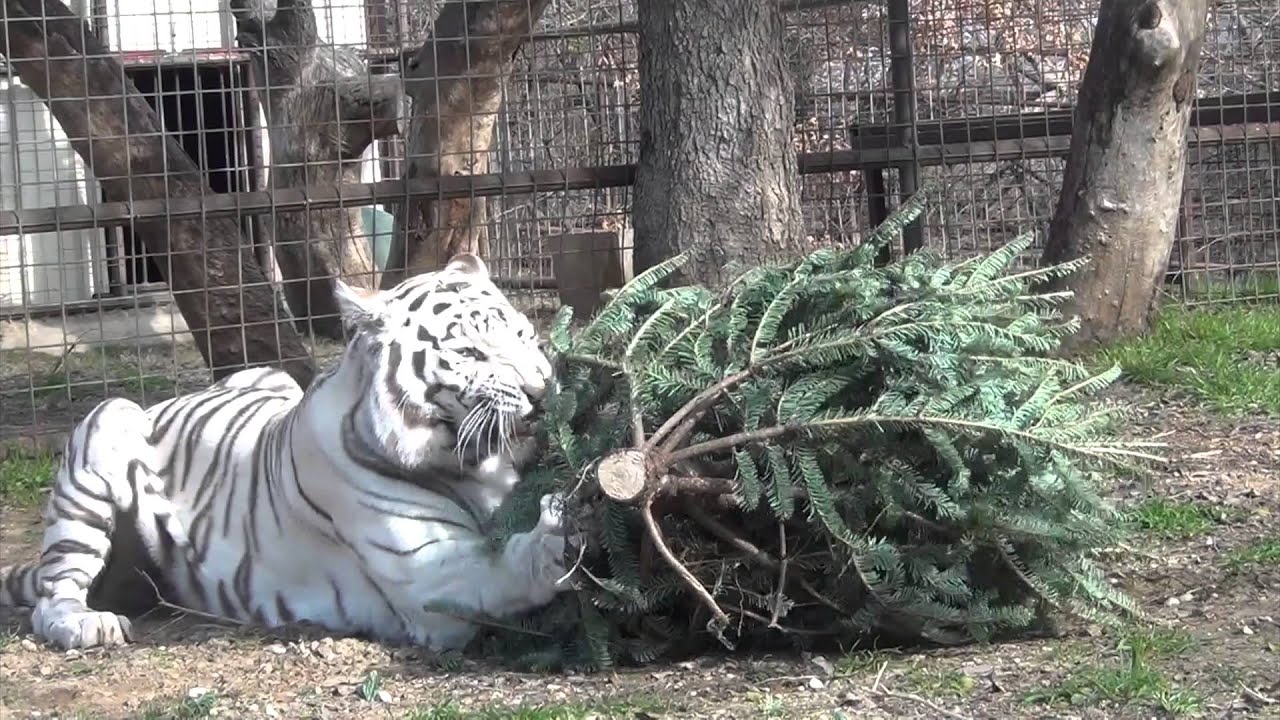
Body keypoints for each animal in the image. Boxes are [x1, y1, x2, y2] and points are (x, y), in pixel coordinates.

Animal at [0, 253, 577, 651]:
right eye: (471, 353)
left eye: (526, 335)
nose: (543, 390)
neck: (474, 460)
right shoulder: (429, 575)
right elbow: (501, 567)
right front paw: (558, 532)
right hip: (109, 418)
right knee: (53, 594)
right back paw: (86, 624)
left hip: (264, 375)